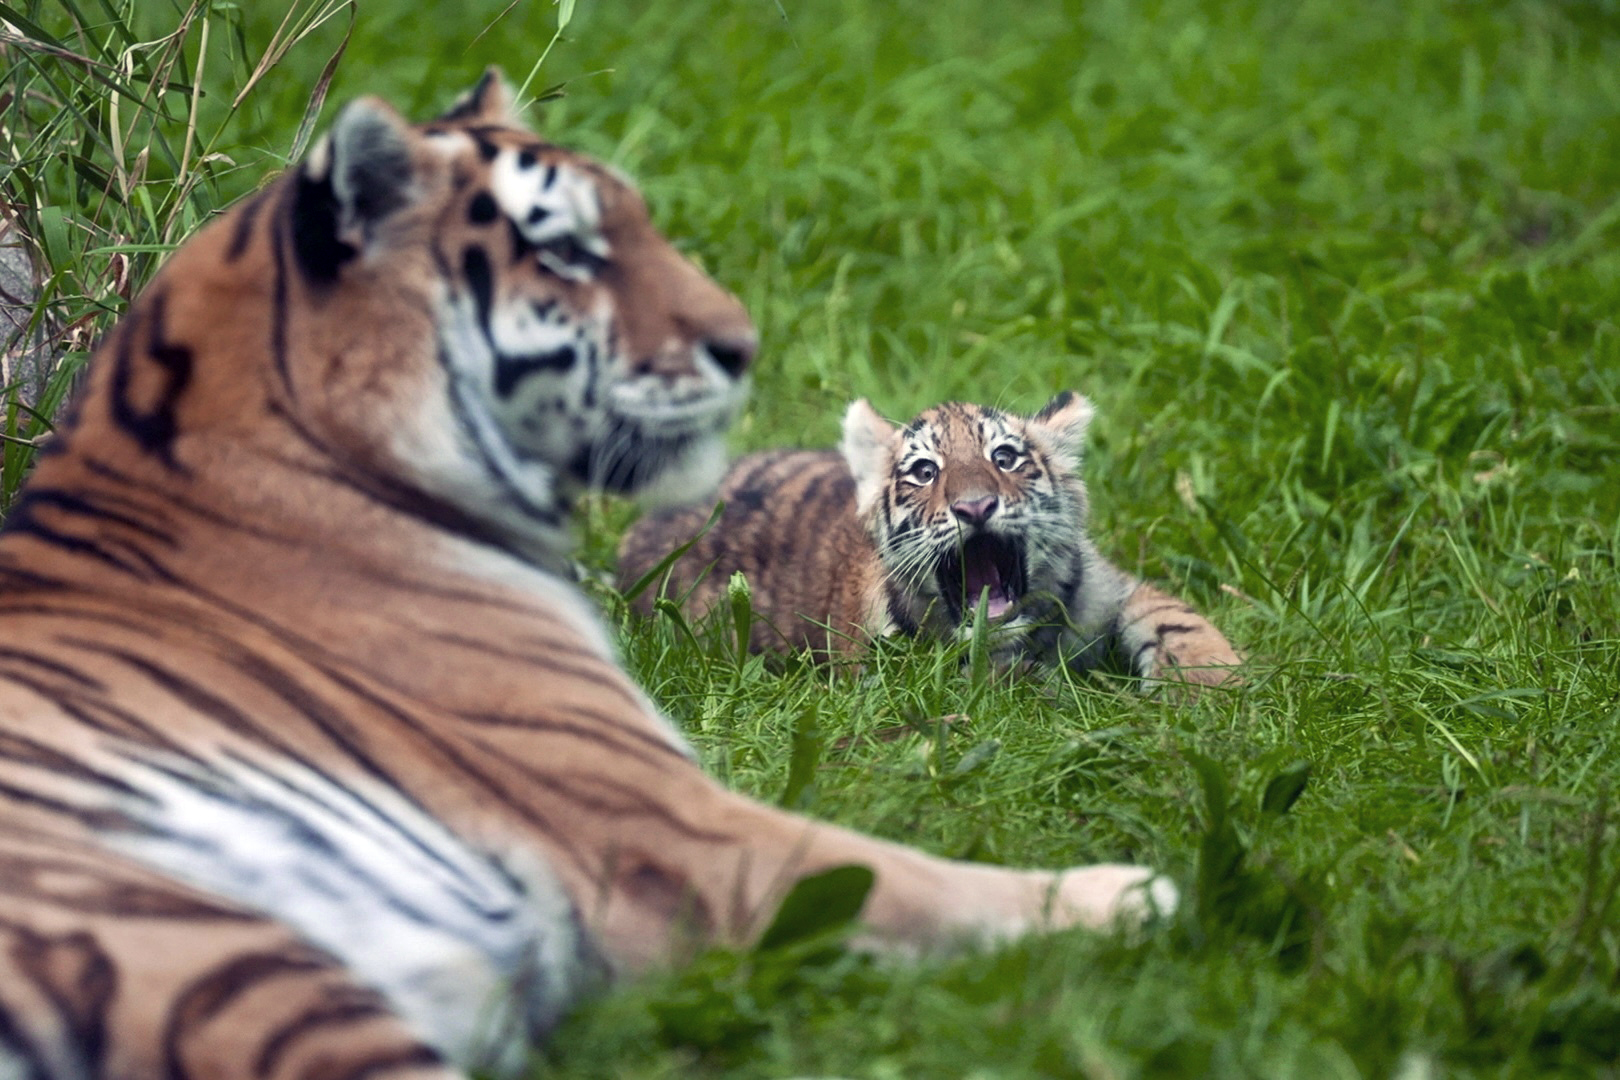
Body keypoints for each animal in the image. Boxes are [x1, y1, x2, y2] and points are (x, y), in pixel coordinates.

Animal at [0, 71, 1175, 1080]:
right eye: (567, 250)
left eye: (1008, 462)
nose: (745, 346)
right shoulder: (662, 816)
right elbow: (913, 873)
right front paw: (1133, 895)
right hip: (238, 977)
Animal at [618, 395, 1242, 687]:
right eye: (924, 472)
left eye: (1004, 458)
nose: (975, 506)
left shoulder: (1110, 585)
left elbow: (1176, 619)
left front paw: (1209, 689)